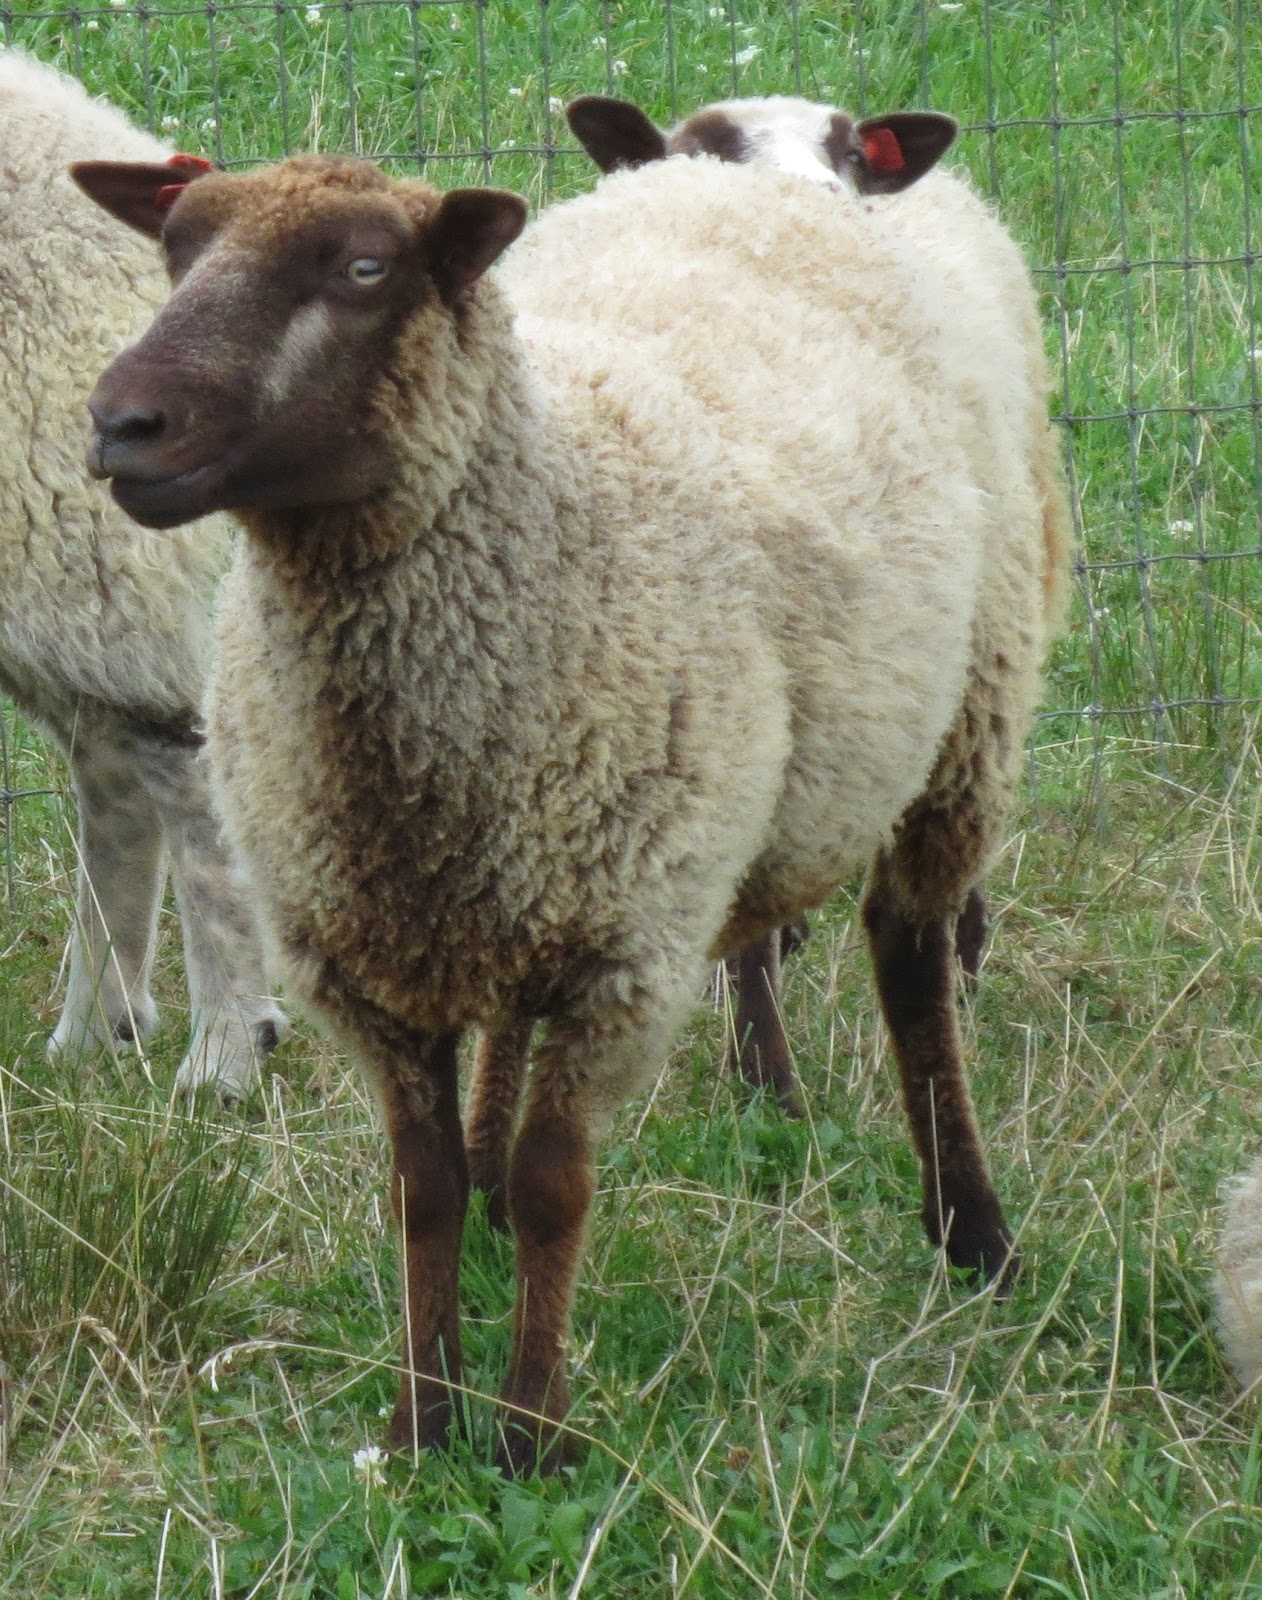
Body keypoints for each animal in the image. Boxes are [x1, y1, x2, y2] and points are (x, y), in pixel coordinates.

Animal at [72, 131, 1069, 1473]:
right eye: (175, 252)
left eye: (365, 268)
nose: (121, 423)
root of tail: (730, 172)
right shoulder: (367, 960)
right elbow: (419, 1186)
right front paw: (420, 1423)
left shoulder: (623, 952)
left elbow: (561, 1184)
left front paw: (531, 1433)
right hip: (518, 881)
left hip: (970, 714)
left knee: (911, 963)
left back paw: (971, 1232)